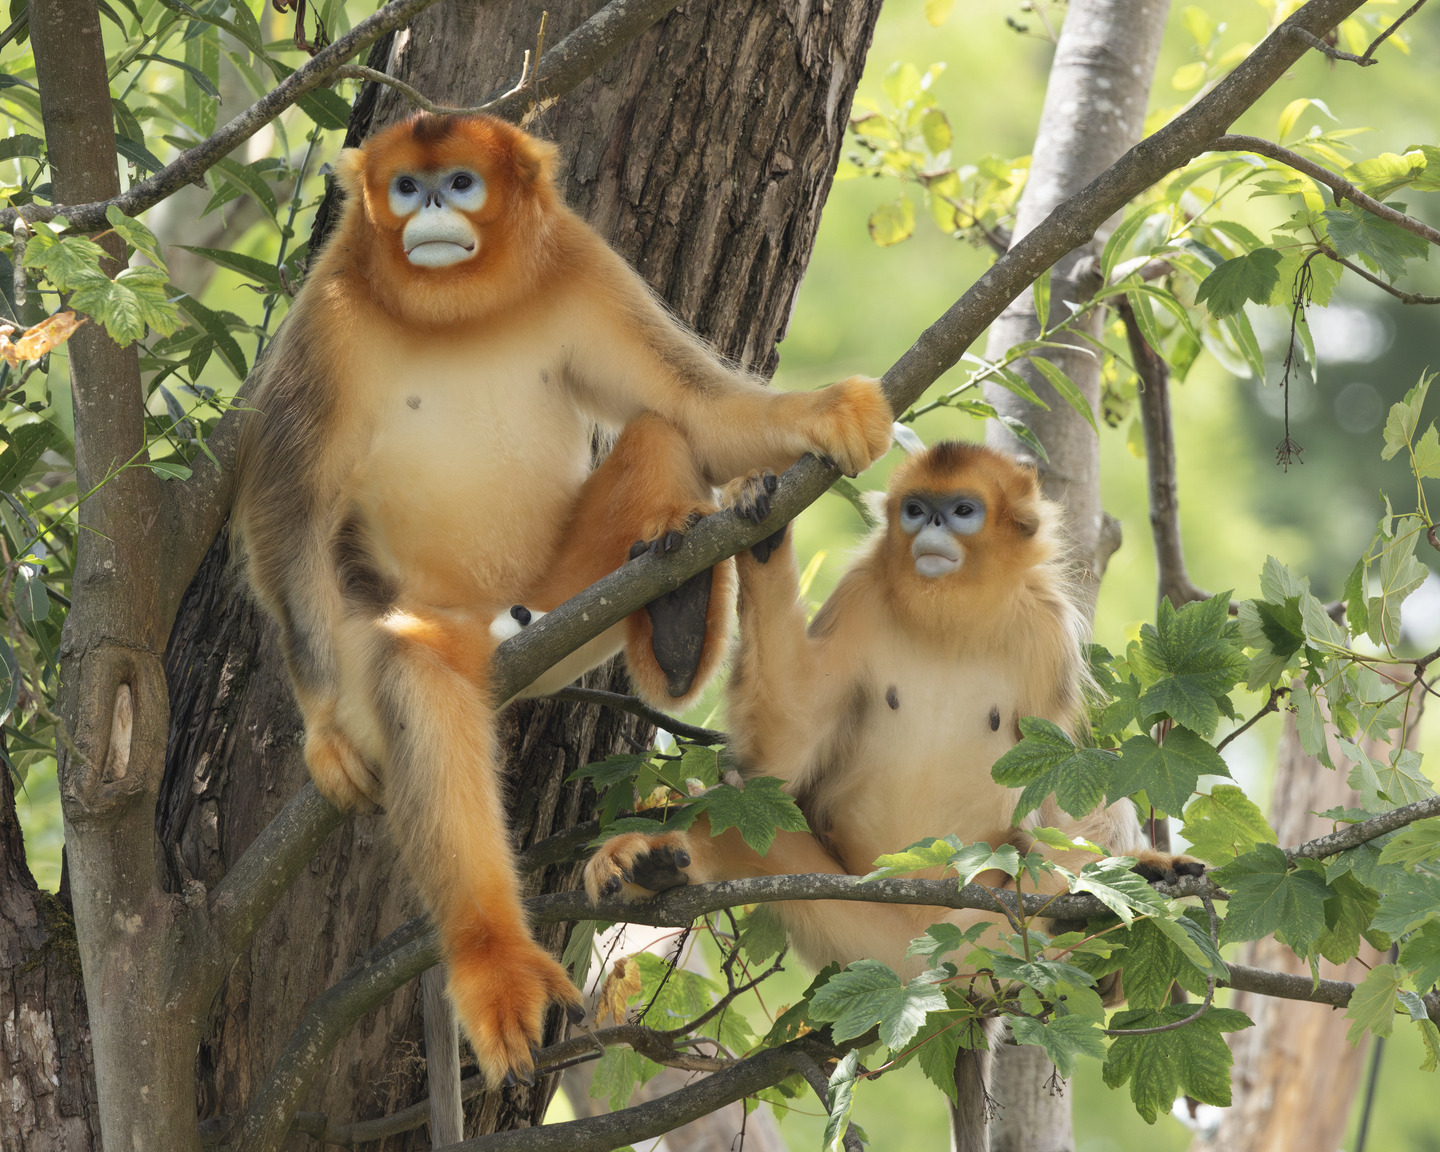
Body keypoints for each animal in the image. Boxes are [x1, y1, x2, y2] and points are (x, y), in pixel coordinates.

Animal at [233, 111, 894, 1085]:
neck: (462, 310)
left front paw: (826, 412)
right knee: (415, 674)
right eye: (406, 187)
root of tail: (504, 630)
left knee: (657, 433)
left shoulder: (580, 263)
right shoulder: (329, 312)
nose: (429, 210)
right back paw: (497, 967)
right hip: (420, 620)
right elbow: (286, 512)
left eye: (461, 182)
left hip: (566, 592)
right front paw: (321, 734)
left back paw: (676, 614)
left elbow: (694, 410)